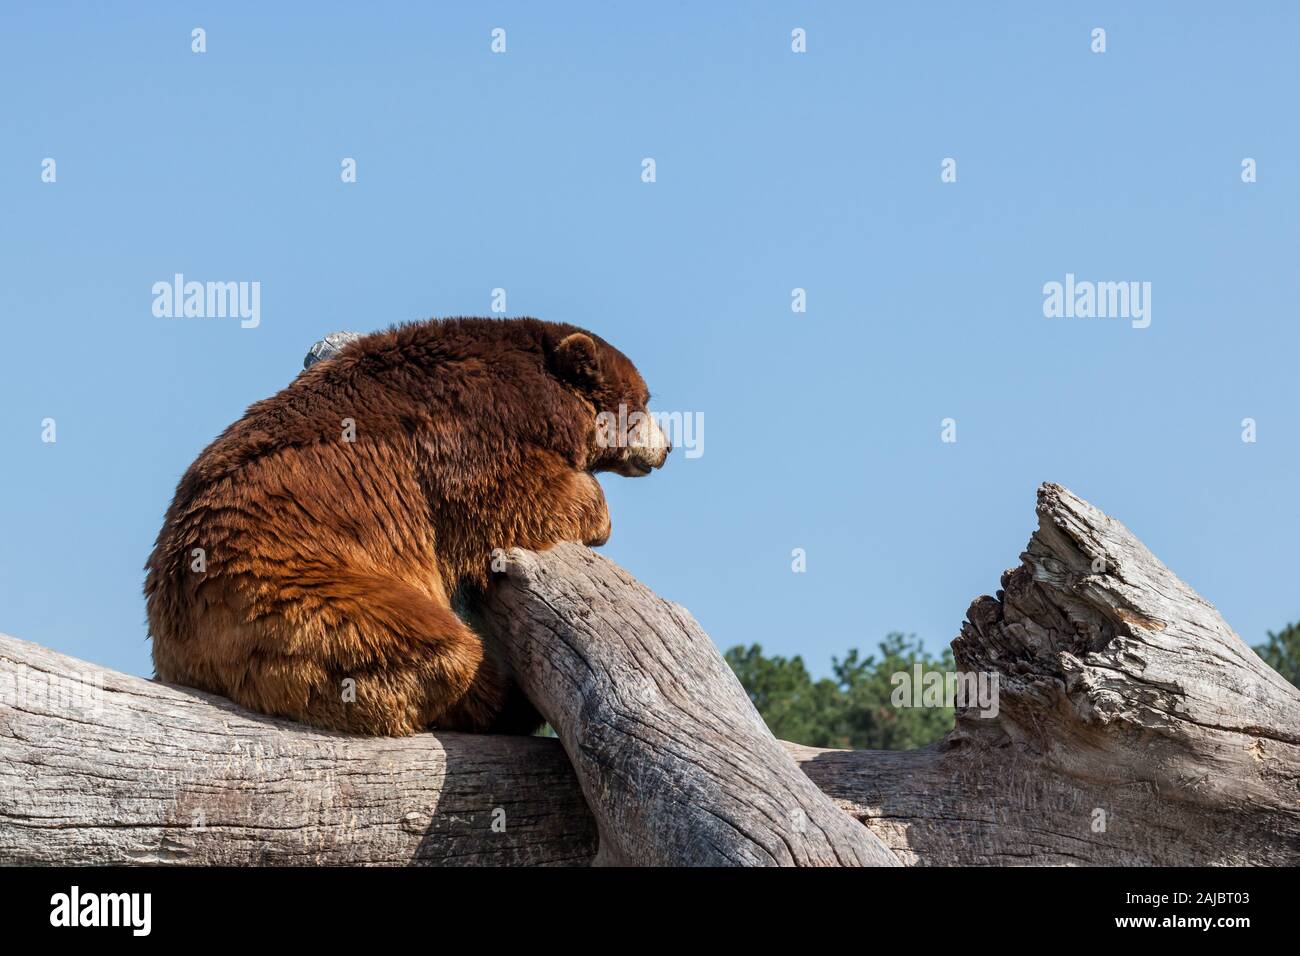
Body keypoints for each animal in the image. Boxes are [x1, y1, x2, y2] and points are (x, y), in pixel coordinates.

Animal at [144, 317, 670, 736]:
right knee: (430, 646)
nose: (666, 448)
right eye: (644, 402)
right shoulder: (467, 431)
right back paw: (503, 702)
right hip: (286, 589)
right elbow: (515, 498)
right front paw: (596, 509)